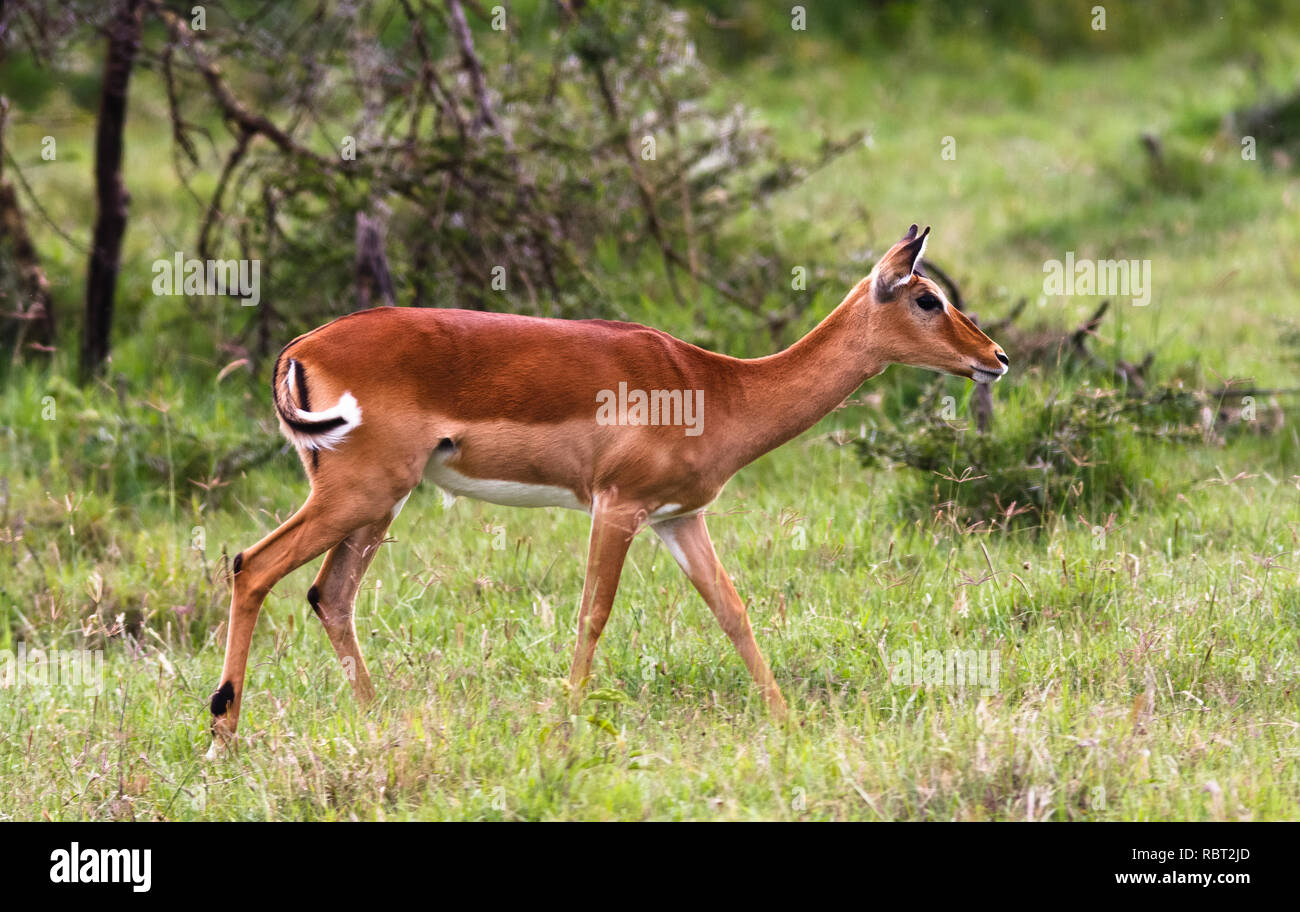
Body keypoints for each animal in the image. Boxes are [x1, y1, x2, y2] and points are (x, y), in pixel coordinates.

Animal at [207, 225, 1008, 747]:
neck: (720, 387)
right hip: (357, 494)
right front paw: (568, 719)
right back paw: (224, 732)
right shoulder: (618, 506)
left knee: (329, 594)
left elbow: (733, 612)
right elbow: (594, 612)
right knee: (253, 566)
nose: (995, 357)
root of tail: (301, 347)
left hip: (378, 503)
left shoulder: (679, 518)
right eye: (928, 299)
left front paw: (788, 723)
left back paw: (380, 721)